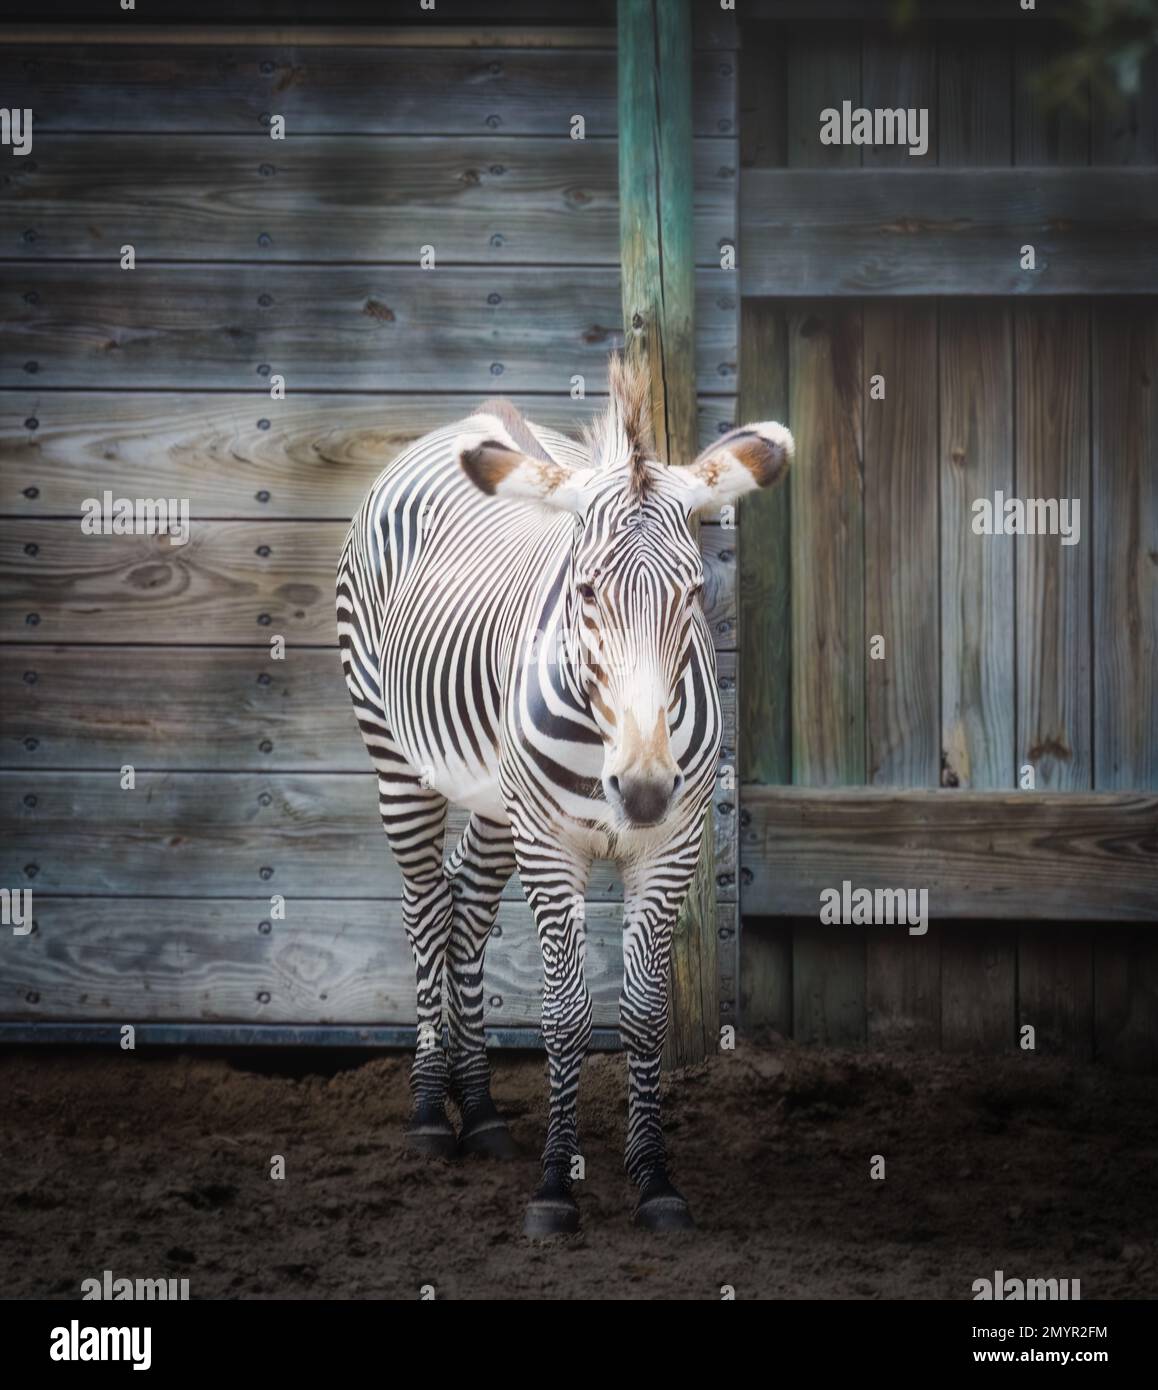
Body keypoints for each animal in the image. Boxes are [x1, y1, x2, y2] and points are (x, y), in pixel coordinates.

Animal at [336, 357, 792, 1235]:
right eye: (584, 595)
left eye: (693, 594)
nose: (642, 790)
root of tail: (465, 423)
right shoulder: (552, 848)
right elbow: (565, 1014)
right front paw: (555, 1184)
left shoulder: (670, 850)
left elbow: (643, 1015)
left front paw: (653, 1179)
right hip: (396, 757)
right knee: (423, 909)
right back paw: (428, 1111)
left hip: (494, 800)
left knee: (467, 907)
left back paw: (479, 1112)